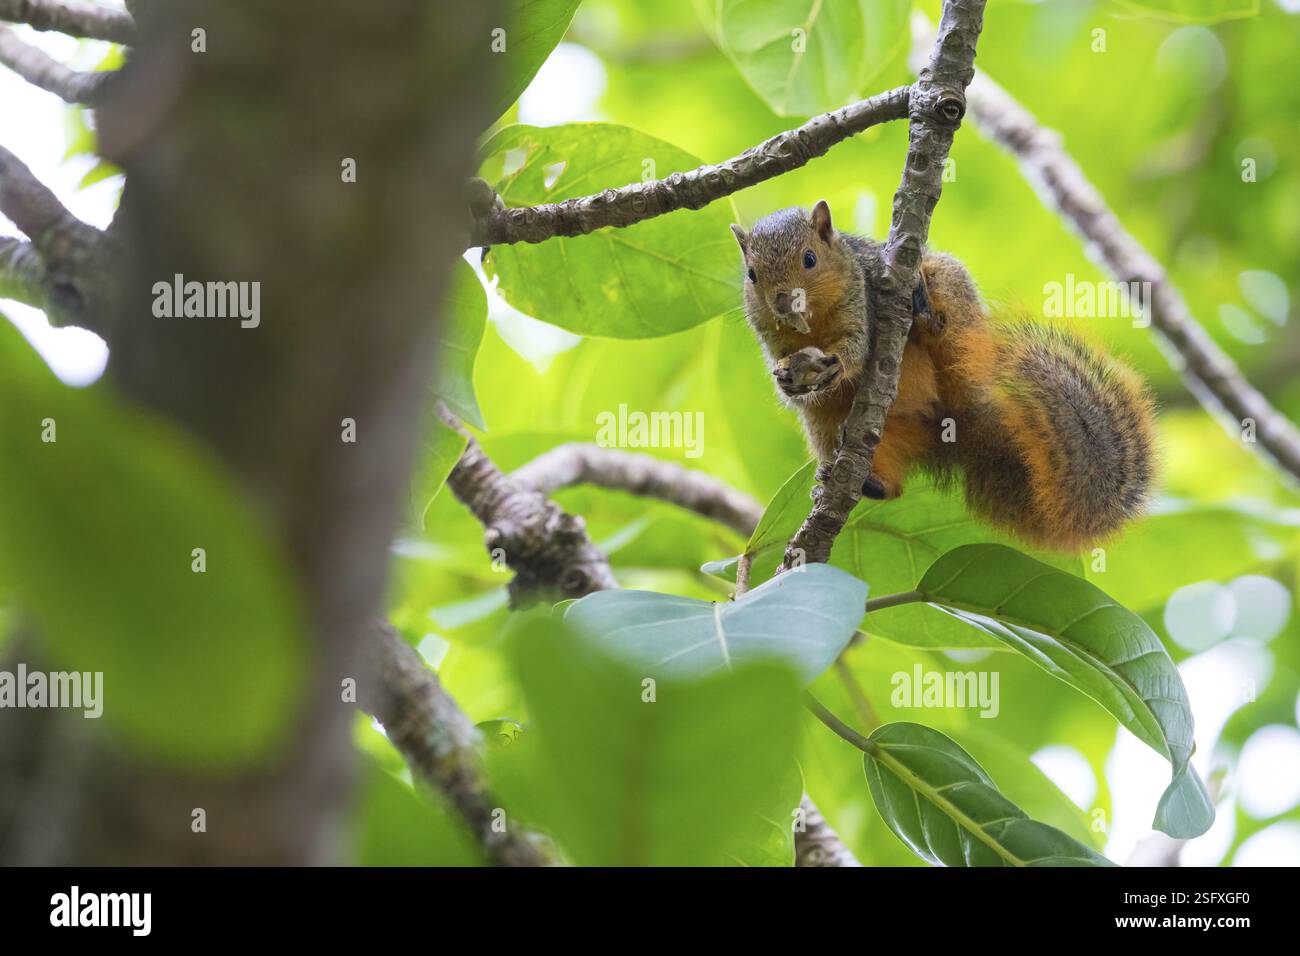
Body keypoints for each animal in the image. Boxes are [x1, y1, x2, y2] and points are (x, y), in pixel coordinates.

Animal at [730, 201, 1156, 553]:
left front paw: (838, 364)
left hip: (950, 301)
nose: (784, 301)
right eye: (752, 274)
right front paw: (788, 380)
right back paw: (859, 480)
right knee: (887, 484)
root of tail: (950, 426)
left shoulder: (860, 301)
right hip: (828, 428)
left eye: (810, 258)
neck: (813, 323)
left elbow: (858, 346)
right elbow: (788, 380)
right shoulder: (771, 337)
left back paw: (927, 314)